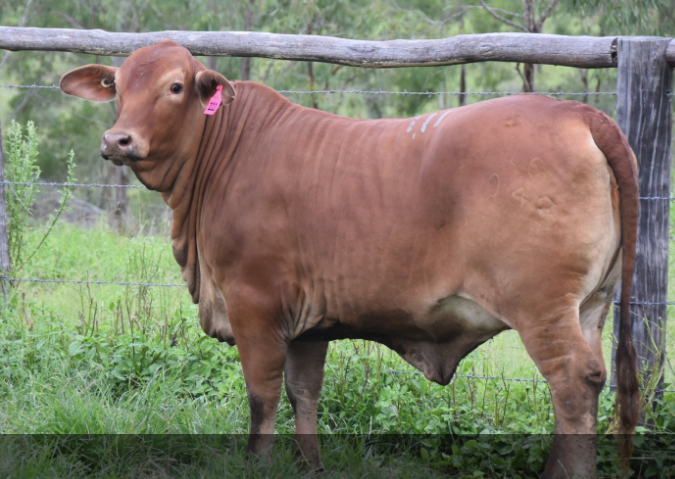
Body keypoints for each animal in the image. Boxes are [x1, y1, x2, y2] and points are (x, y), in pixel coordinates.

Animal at [60, 40, 639, 478]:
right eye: (119, 86)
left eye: (175, 87)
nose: (118, 139)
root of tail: (577, 111)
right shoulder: (307, 324)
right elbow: (304, 395)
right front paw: (311, 466)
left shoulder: (254, 305)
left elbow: (261, 396)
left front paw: (256, 463)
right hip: (591, 305)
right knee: (590, 382)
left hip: (541, 307)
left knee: (572, 383)